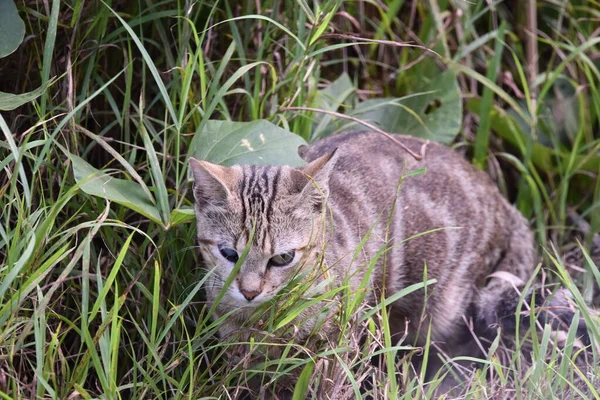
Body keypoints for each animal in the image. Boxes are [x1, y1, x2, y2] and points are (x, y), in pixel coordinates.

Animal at [190, 131, 588, 384]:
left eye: (283, 258)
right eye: (229, 253)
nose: (250, 291)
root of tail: (503, 203)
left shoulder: (339, 340)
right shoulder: (237, 342)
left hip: (441, 304)